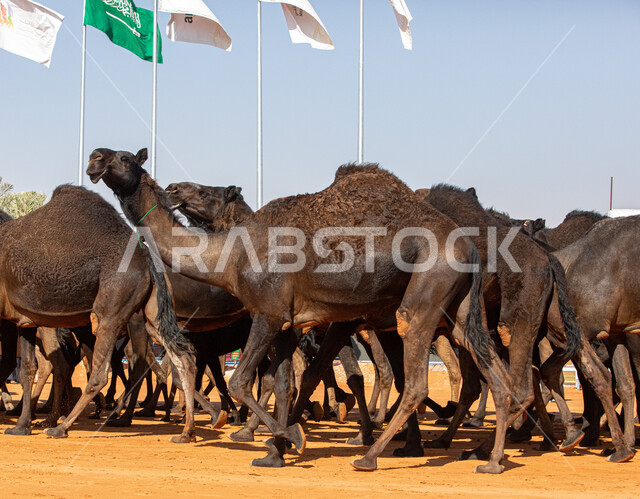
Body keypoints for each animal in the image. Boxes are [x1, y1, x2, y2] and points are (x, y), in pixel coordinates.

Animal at [0, 184, 194, 441]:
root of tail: (148, 257)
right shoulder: (24, 321)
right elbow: (26, 370)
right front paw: (21, 426)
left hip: (112, 307)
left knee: (101, 371)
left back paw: (62, 426)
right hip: (152, 315)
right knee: (182, 359)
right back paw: (186, 430)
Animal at [89, 148, 498, 471]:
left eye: (123, 158)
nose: (94, 157)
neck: (231, 256)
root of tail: (469, 247)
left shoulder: (268, 314)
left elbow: (242, 381)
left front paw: (289, 438)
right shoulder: (287, 323)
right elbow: (282, 382)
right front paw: (274, 451)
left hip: (421, 297)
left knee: (414, 378)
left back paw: (373, 454)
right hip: (454, 312)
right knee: (489, 368)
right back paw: (484, 457)